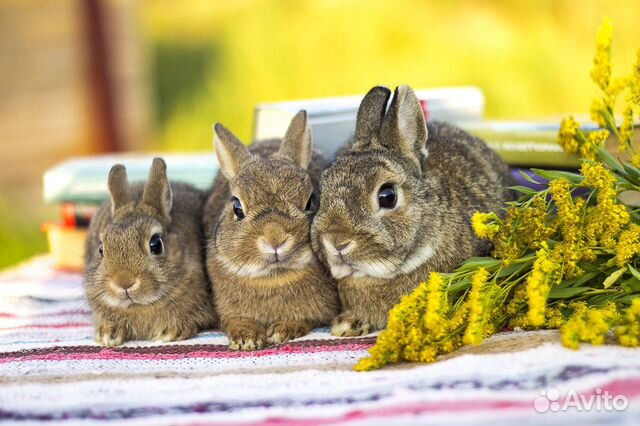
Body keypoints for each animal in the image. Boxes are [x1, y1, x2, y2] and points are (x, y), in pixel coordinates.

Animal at [203, 111, 340, 351]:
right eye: (237, 208)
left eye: (311, 202)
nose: (275, 238)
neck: (272, 278)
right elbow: (237, 320)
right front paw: (246, 338)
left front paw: (282, 330)